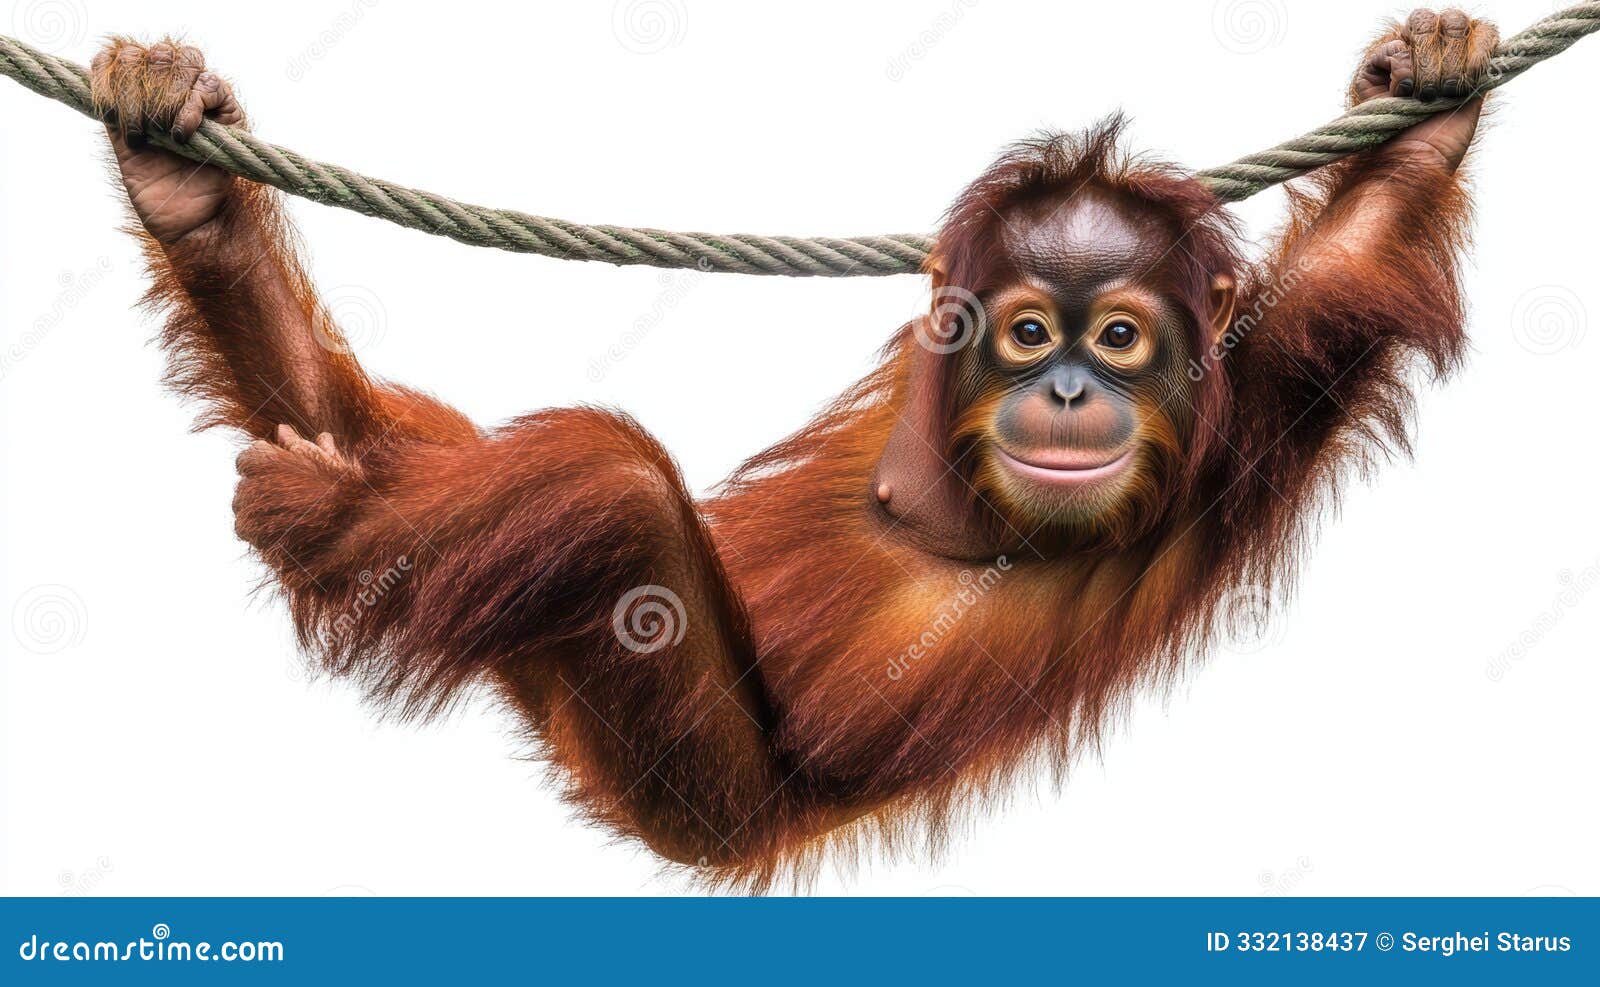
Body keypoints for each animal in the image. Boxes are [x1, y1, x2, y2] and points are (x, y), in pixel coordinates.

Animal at [90, 8, 1497, 888]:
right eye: (1027, 330)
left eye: (1121, 337)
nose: (1069, 388)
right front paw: (1423, 110)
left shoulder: (1251, 397)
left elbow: (1352, 263)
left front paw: (1421, 128)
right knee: (382, 433)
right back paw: (196, 208)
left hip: (688, 780)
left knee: (604, 489)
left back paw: (330, 525)